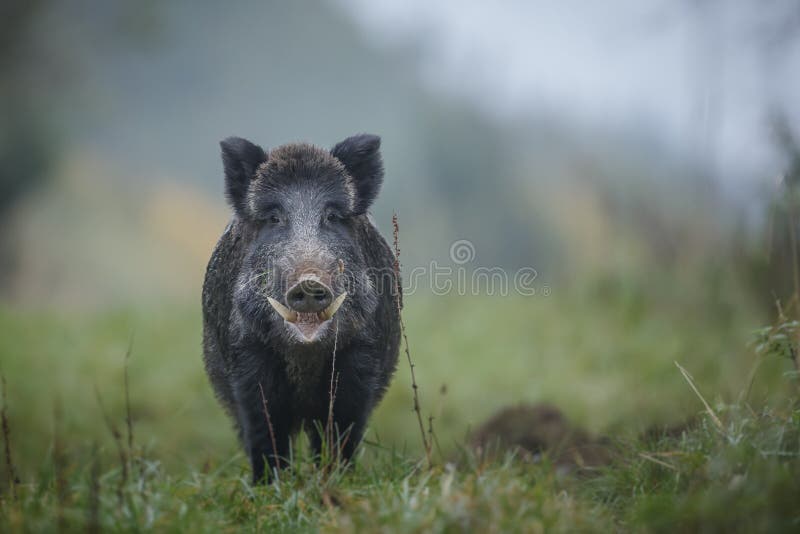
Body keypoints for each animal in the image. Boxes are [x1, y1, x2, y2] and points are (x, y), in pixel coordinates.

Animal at [202, 134, 401, 483]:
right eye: (273, 218)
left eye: (332, 216)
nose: (308, 282)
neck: (304, 356)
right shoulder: (247, 358)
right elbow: (265, 431)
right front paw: (269, 486)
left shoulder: (361, 357)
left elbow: (341, 430)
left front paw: (336, 479)